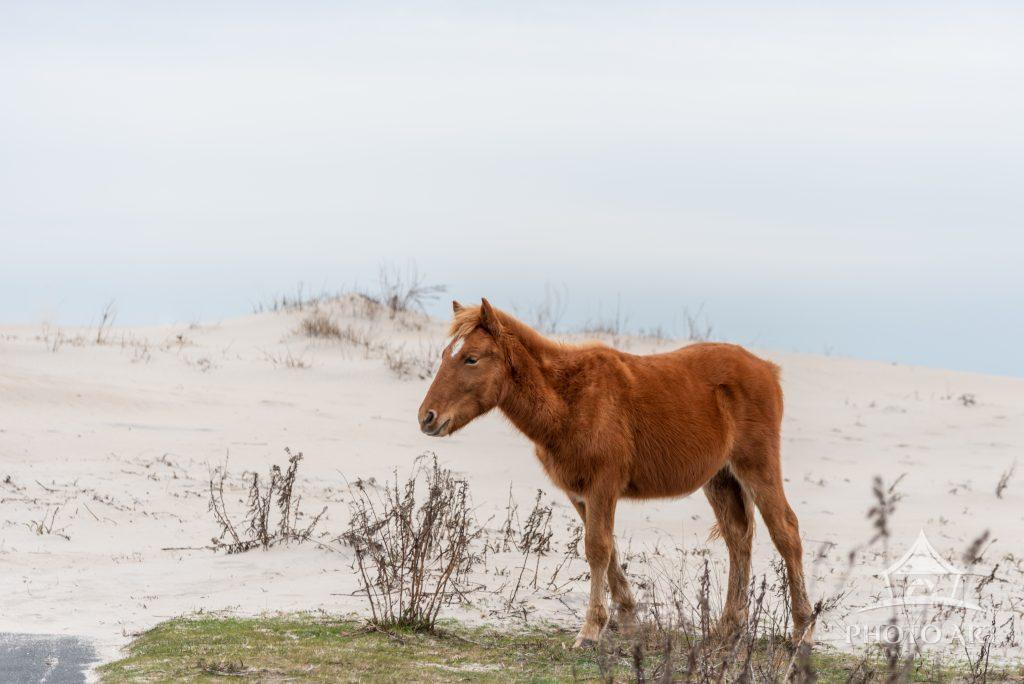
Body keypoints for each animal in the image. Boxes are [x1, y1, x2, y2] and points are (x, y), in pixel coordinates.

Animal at [417, 298, 812, 649]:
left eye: (471, 358)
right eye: (445, 355)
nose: (427, 417)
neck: (572, 399)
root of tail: (766, 369)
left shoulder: (602, 486)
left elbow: (597, 548)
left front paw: (591, 631)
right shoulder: (580, 493)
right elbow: (607, 551)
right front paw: (627, 617)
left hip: (756, 468)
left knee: (786, 532)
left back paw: (802, 631)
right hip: (721, 479)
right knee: (738, 540)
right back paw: (728, 629)